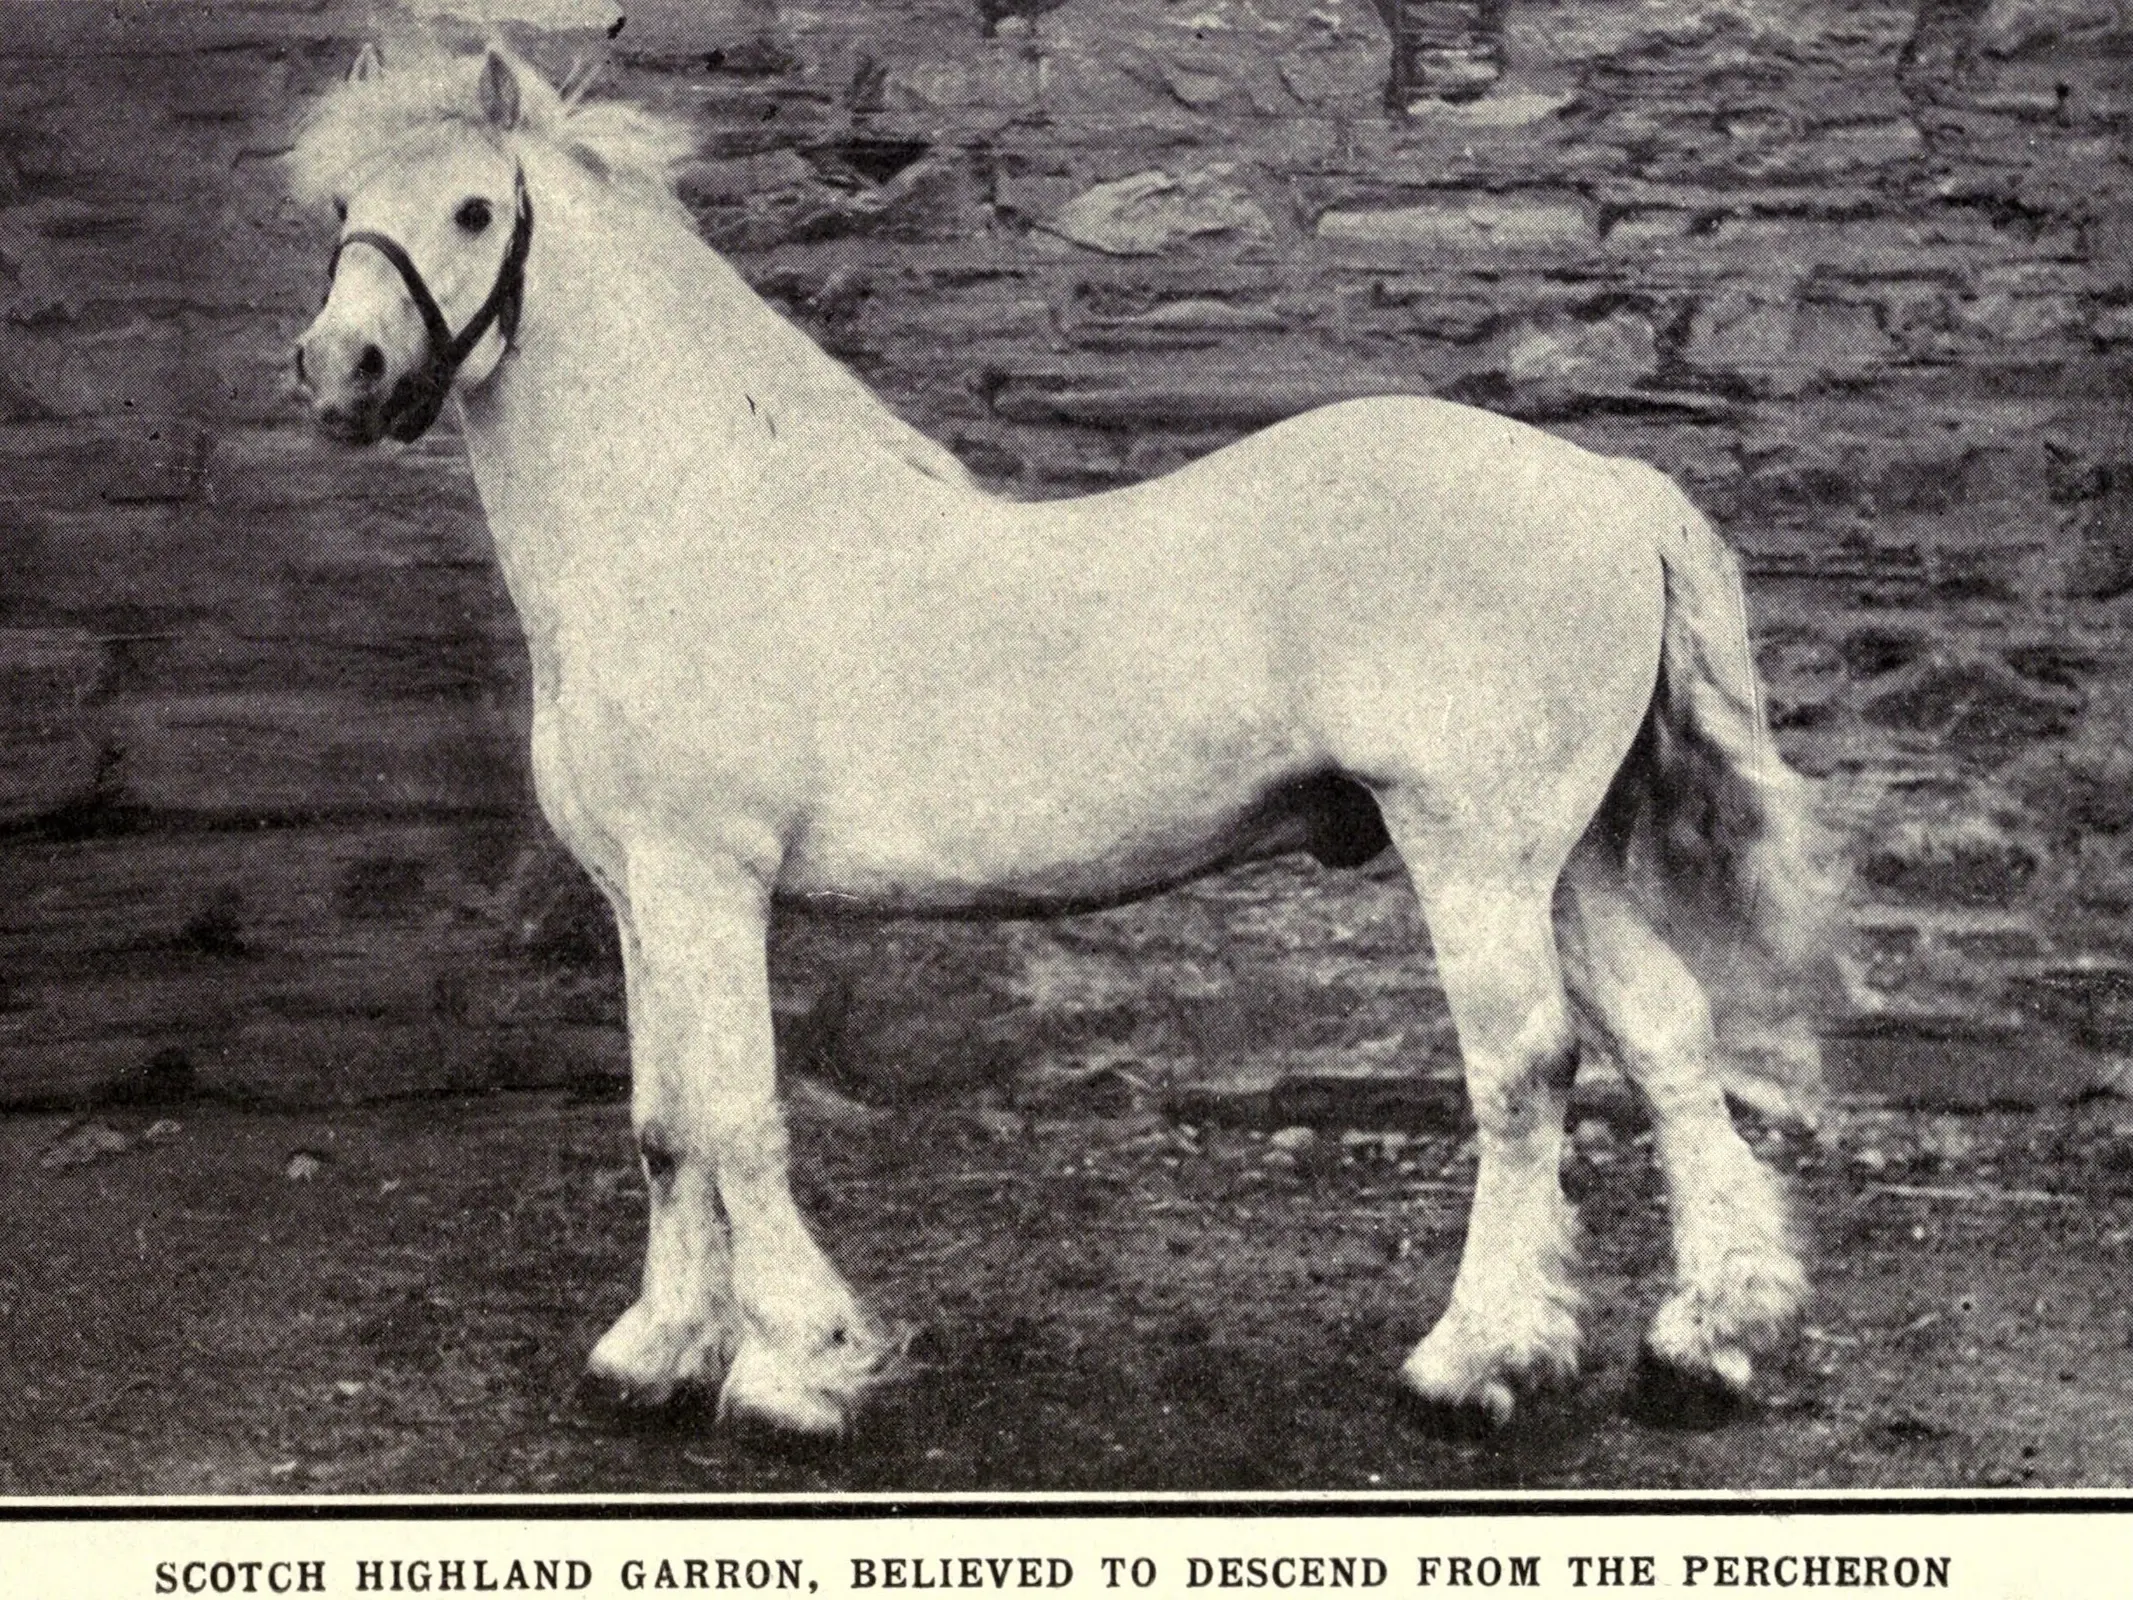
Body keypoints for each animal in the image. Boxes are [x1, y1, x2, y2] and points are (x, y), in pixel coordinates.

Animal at [290, 40, 1831, 1439]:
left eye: (474, 210)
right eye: (346, 206)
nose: (337, 370)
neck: (689, 518)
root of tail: (1607, 484)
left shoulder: (706, 881)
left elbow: (735, 1116)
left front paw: (795, 1369)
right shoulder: (637, 895)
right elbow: (664, 1122)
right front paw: (656, 1354)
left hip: (1476, 855)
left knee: (1523, 1069)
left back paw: (1474, 1362)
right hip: (1562, 861)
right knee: (1667, 1035)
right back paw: (1706, 1344)